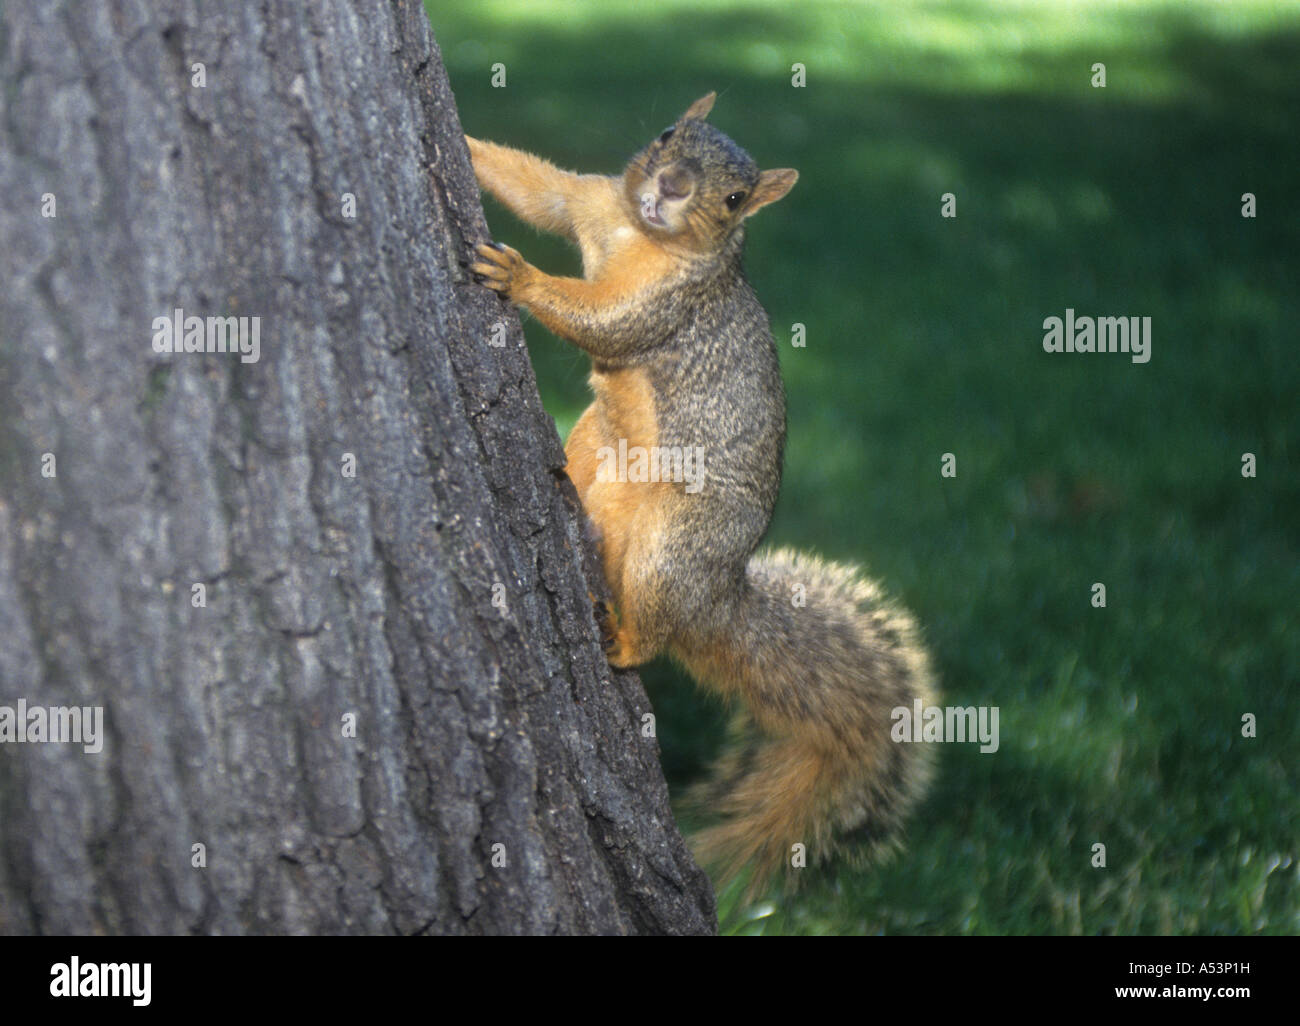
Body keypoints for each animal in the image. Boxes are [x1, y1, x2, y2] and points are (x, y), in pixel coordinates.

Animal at [466, 92, 936, 896]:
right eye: (667, 134)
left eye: (737, 199)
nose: (674, 183)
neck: (642, 231)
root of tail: (716, 594)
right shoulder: (591, 202)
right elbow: (538, 187)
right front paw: (464, 143)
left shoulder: (672, 302)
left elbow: (605, 319)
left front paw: (523, 279)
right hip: (596, 440)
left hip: (678, 544)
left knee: (655, 621)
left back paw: (626, 641)